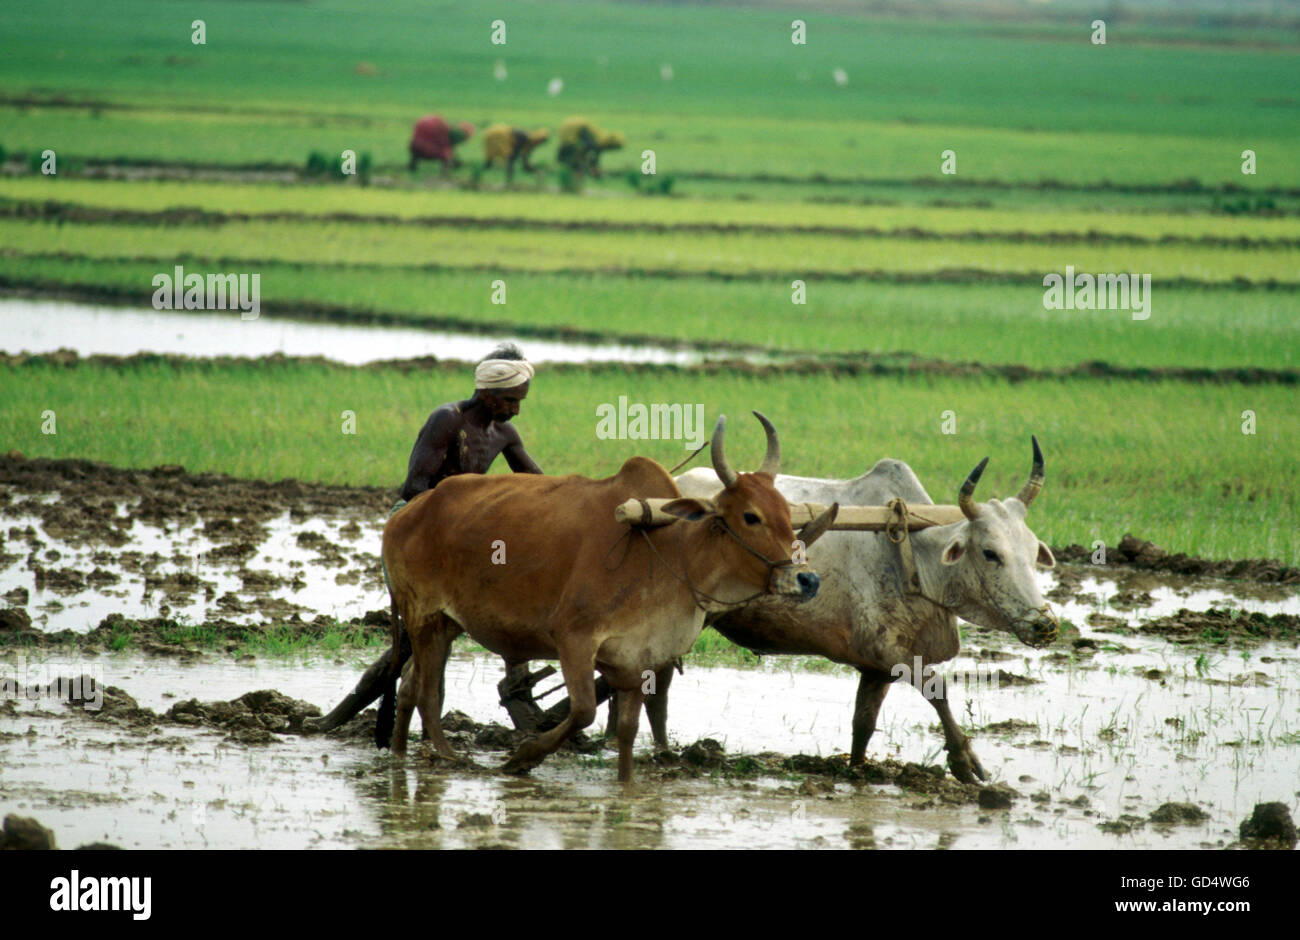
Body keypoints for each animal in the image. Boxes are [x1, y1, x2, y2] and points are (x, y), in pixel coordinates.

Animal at [376, 413, 833, 782]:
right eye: (751, 516)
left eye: (788, 515)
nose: (807, 580)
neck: (669, 551)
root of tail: (406, 513)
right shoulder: (574, 639)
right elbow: (584, 711)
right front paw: (523, 757)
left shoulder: (636, 659)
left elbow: (628, 731)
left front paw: (625, 787)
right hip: (421, 616)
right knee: (426, 693)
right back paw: (448, 757)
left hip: (444, 625)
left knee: (410, 684)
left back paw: (398, 754)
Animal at [613, 439, 1058, 783]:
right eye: (990, 553)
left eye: (1031, 550)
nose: (1044, 625)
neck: (914, 559)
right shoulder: (893, 654)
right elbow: (939, 691)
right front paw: (966, 763)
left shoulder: (877, 668)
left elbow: (864, 723)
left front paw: (858, 768)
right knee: (654, 688)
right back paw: (662, 752)